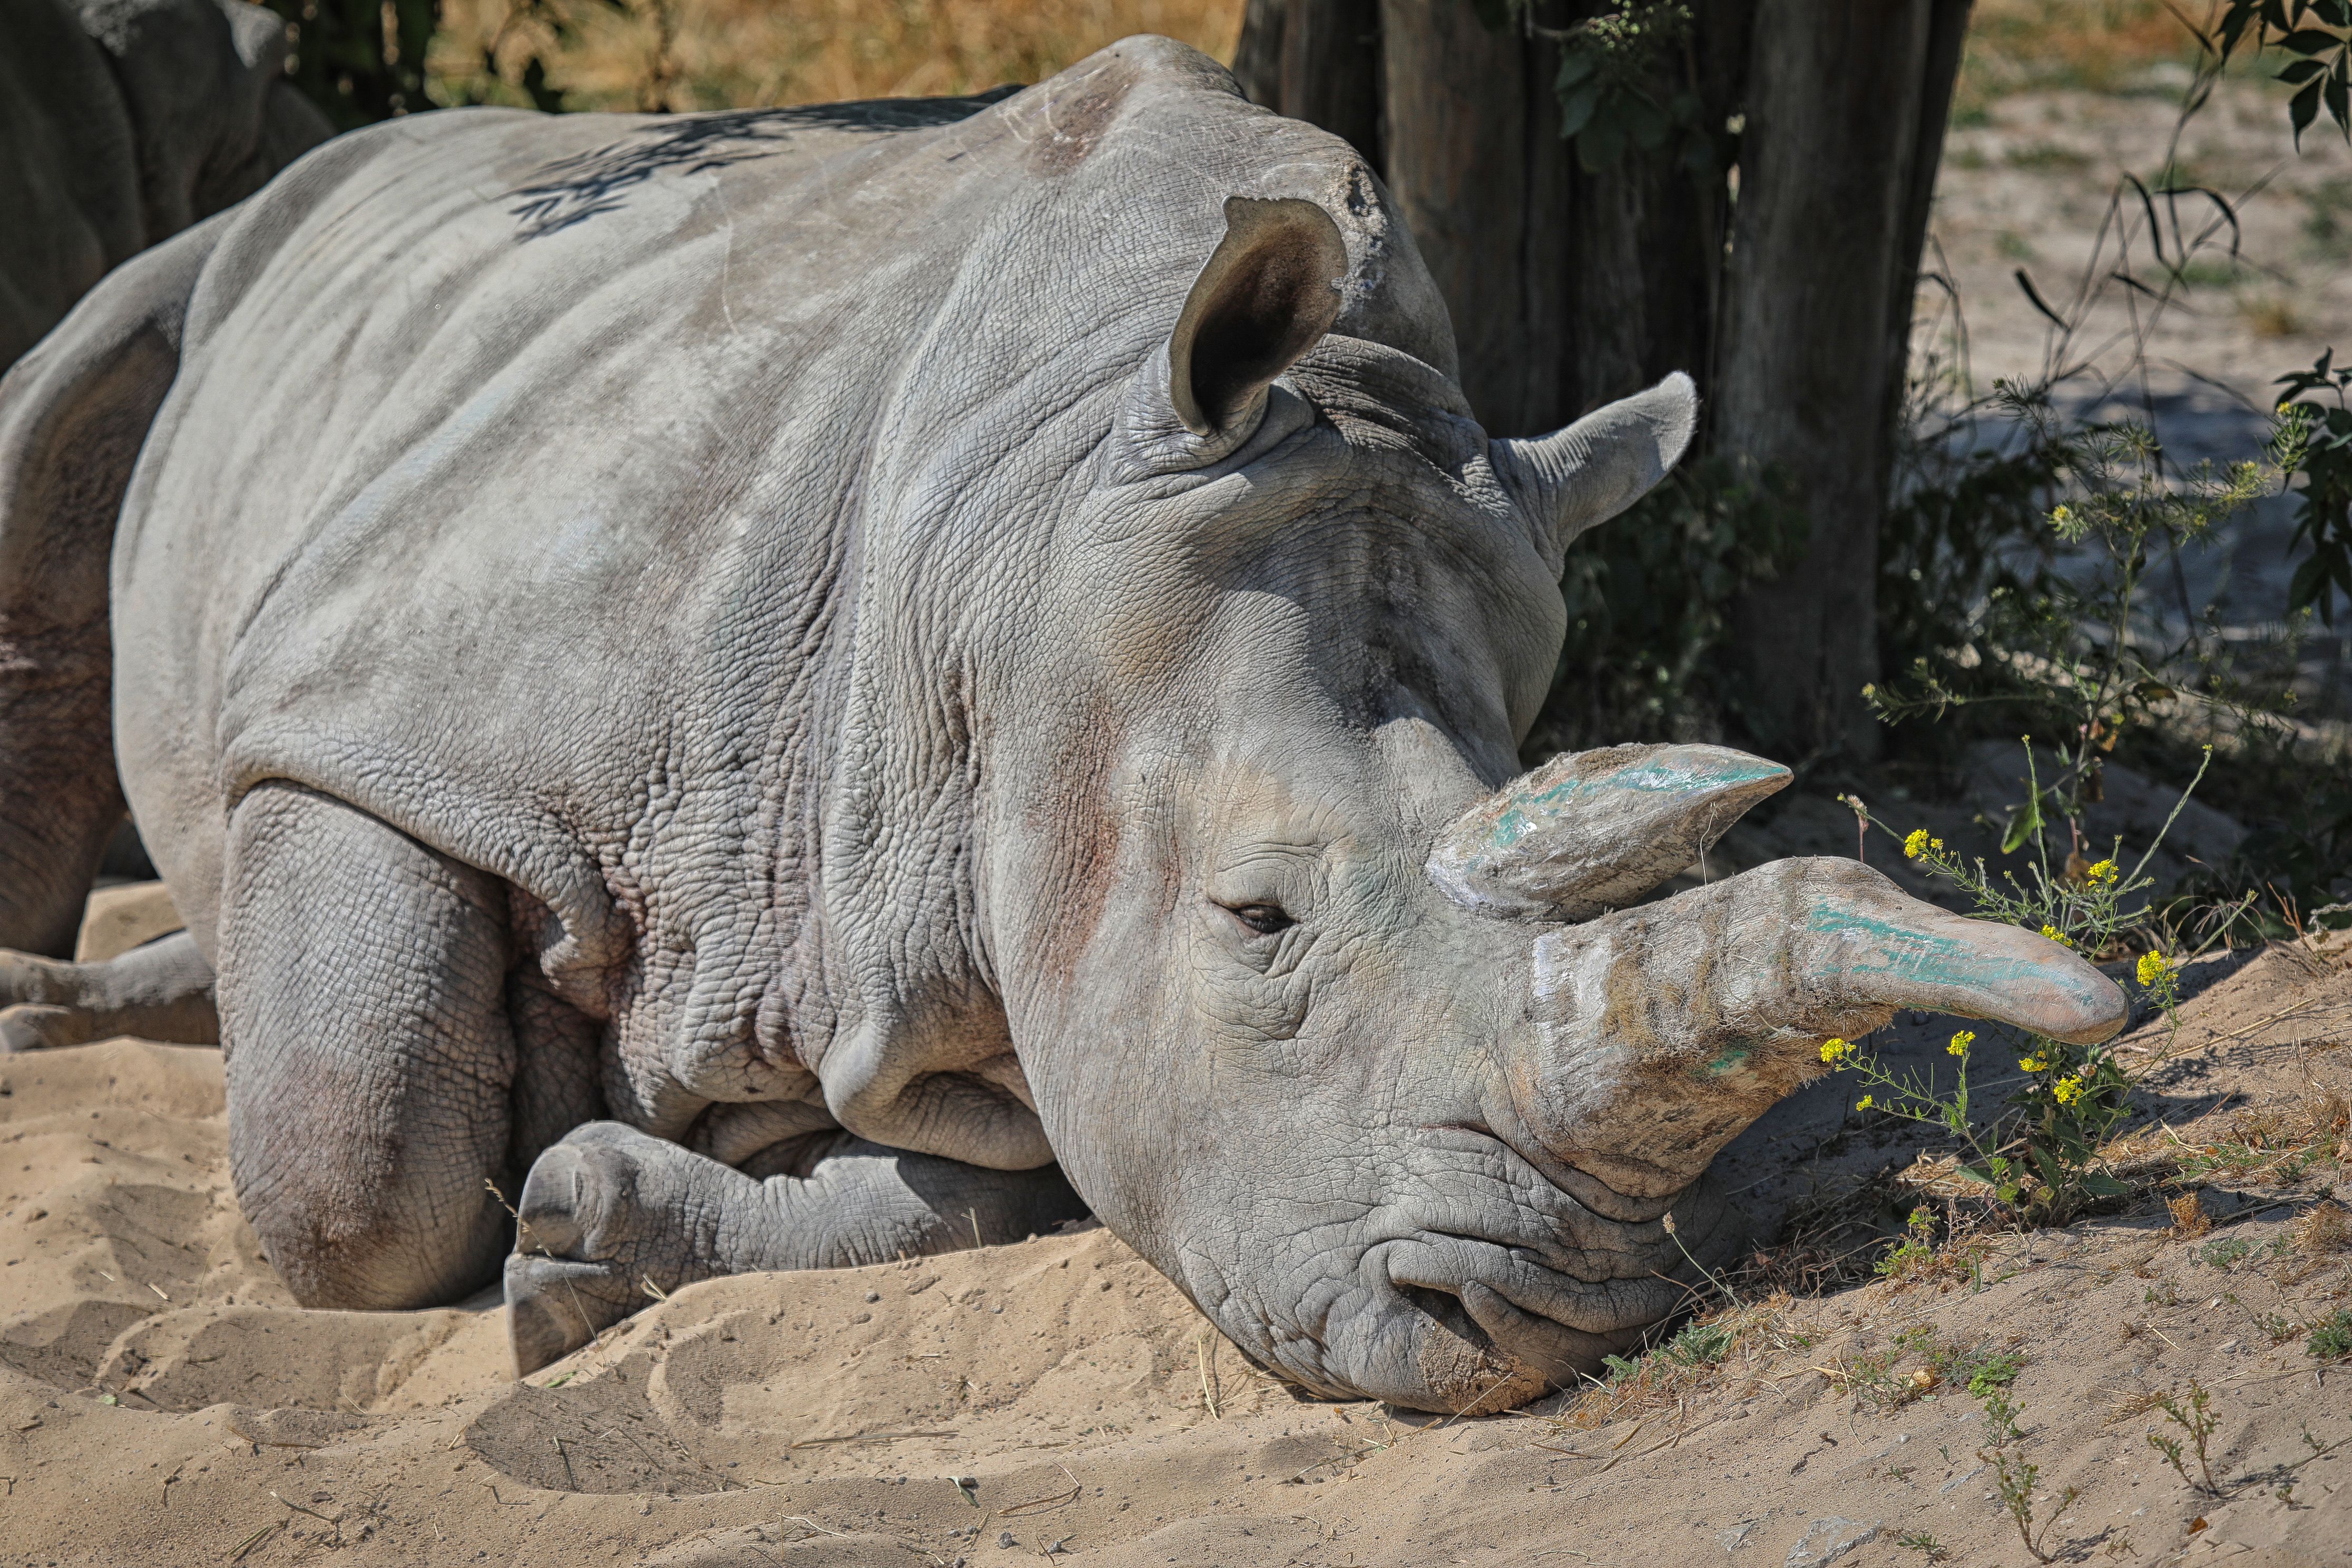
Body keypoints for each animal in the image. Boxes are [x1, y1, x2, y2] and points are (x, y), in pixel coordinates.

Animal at [0, 38, 2125, 1412]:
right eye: (1258, 919)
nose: (1551, 1315)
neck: (1009, 539)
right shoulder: (385, 723)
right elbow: (354, 1171)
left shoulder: (997, 918)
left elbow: (1012, 1175)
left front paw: (602, 1223)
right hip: (236, 241)